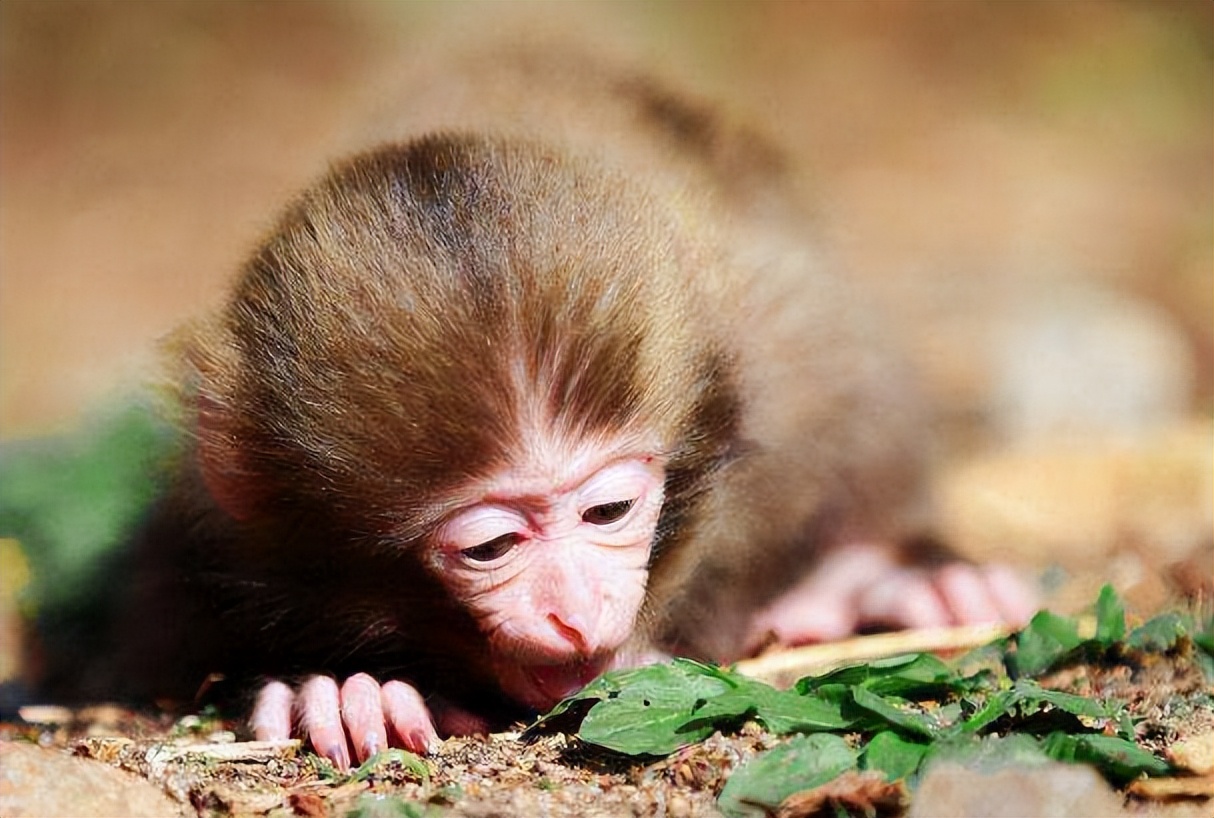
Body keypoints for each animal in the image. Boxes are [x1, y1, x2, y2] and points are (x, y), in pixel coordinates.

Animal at [96, 51, 1034, 770]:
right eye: (491, 547)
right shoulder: (205, 521)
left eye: (609, 511)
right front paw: (334, 690)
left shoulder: (788, 354)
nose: (573, 611)